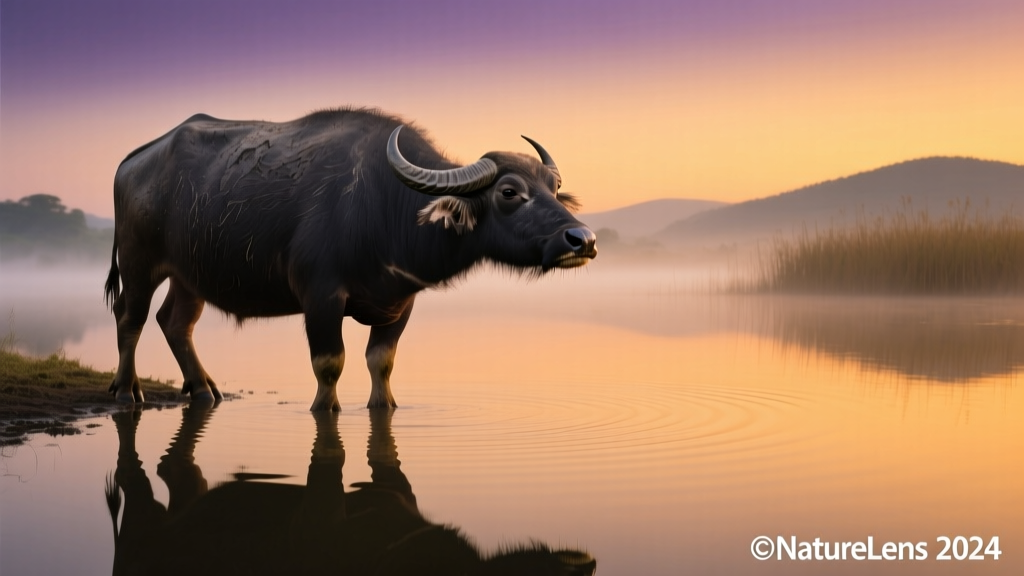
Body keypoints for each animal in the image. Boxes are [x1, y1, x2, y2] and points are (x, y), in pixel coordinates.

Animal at [105, 108, 596, 410]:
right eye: (509, 192)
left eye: (553, 188)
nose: (583, 240)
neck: (386, 209)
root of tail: (134, 160)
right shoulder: (320, 297)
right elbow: (329, 364)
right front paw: (326, 409)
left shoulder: (400, 303)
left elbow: (381, 361)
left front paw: (385, 405)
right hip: (138, 262)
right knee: (130, 318)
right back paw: (127, 391)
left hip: (190, 274)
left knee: (175, 322)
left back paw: (205, 390)